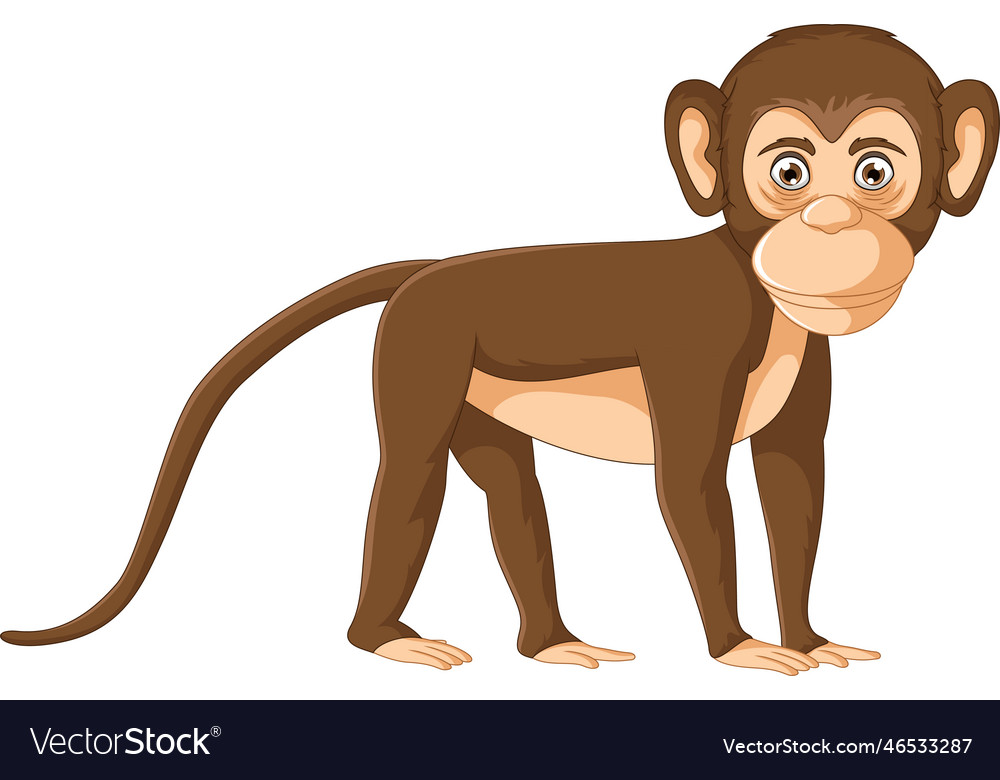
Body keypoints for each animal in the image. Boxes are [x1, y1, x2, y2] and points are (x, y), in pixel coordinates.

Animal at [3, 26, 996, 675]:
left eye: (873, 171)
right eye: (788, 172)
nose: (830, 224)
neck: (756, 287)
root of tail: (432, 271)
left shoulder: (809, 351)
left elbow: (792, 481)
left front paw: (807, 638)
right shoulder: (700, 337)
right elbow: (691, 482)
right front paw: (740, 648)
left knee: (508, 485)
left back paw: (549, 644)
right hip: (422, 343)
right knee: (411, 470)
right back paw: (383, 639)